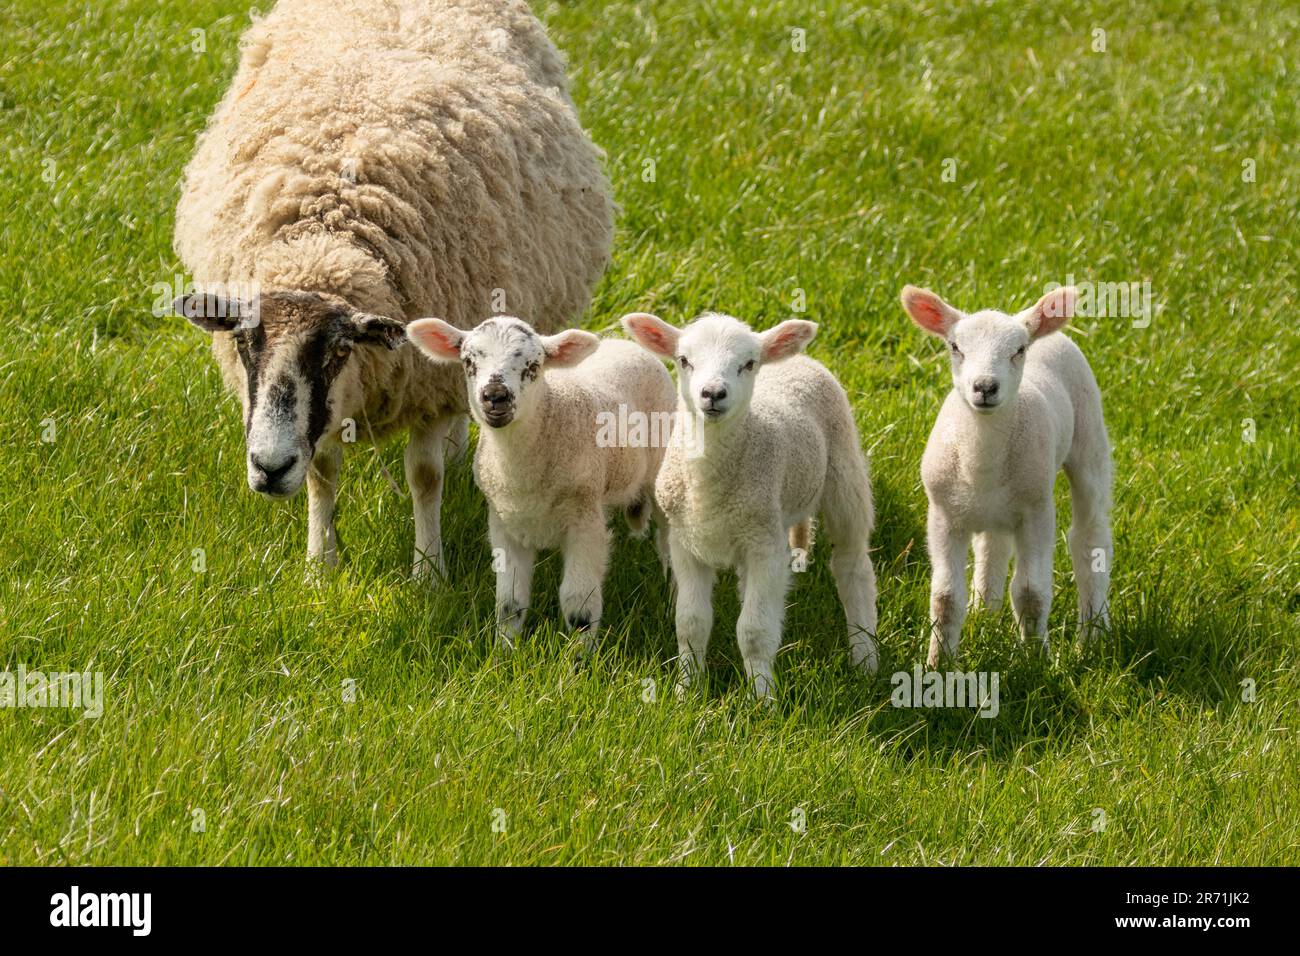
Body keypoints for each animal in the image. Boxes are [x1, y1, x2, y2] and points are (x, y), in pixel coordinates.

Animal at [172, 0, 613, 578]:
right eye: (245, 343)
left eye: (338, 350)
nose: (269, 468)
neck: (325, 237)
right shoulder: (333, 404)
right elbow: (322, 471)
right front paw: (320, 565)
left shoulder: (427, 385)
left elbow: (425, 478)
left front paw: (429, 571)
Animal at [407, 316, 676, 654]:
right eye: (468, 362)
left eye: (533, 366)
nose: (495, 395)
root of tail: (623, 343)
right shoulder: (504, 523)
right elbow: (509, 602)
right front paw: (504, 653)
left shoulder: (585, 520)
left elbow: (578, 605)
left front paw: (579, 661)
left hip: (659, 472)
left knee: (668, 543)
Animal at [622, 312, 879, 701]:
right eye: (684, 360)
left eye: (748, 363)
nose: (713, 393)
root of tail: (800, 359)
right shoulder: (685, 545)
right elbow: (691, 623)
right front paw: (686, 690)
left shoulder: (765, 549)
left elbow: (754, 631)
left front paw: (762, 699)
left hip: (843, 475)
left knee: (853, 565)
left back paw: (865, 658)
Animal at [900, 285, 1114, 666]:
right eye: (955, 346)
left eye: (1019, 350)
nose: (985, 387)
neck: (980, 461)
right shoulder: (942, 514)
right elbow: (945, 598)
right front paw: (938, 664)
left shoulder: (1037, 511)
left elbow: (1030, 593)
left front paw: (1035, 660)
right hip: (993, 510)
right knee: (992, 545)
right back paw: (984, 612)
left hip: (1089, 432)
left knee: (1090, 536)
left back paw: (1092, 637)